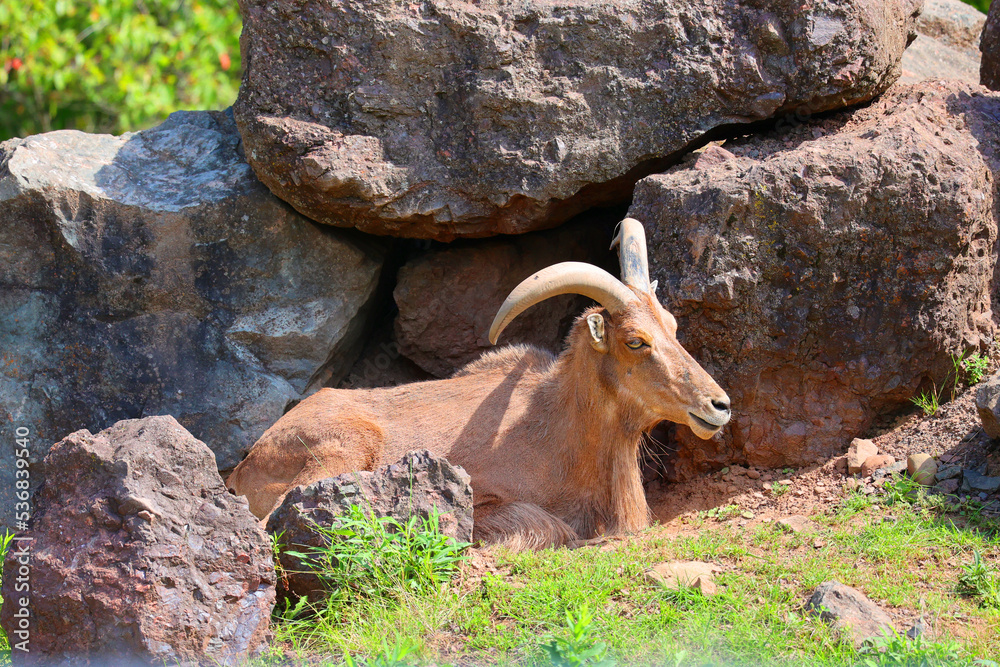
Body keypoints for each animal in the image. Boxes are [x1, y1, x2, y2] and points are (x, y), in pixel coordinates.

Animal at [226, 218, 731, 549]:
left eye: (673, 326)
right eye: (635, 341)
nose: (719, 404)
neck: (561, 427)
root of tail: (245, 465)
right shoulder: (489, 496)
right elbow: (549, 526)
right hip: (342, 448)